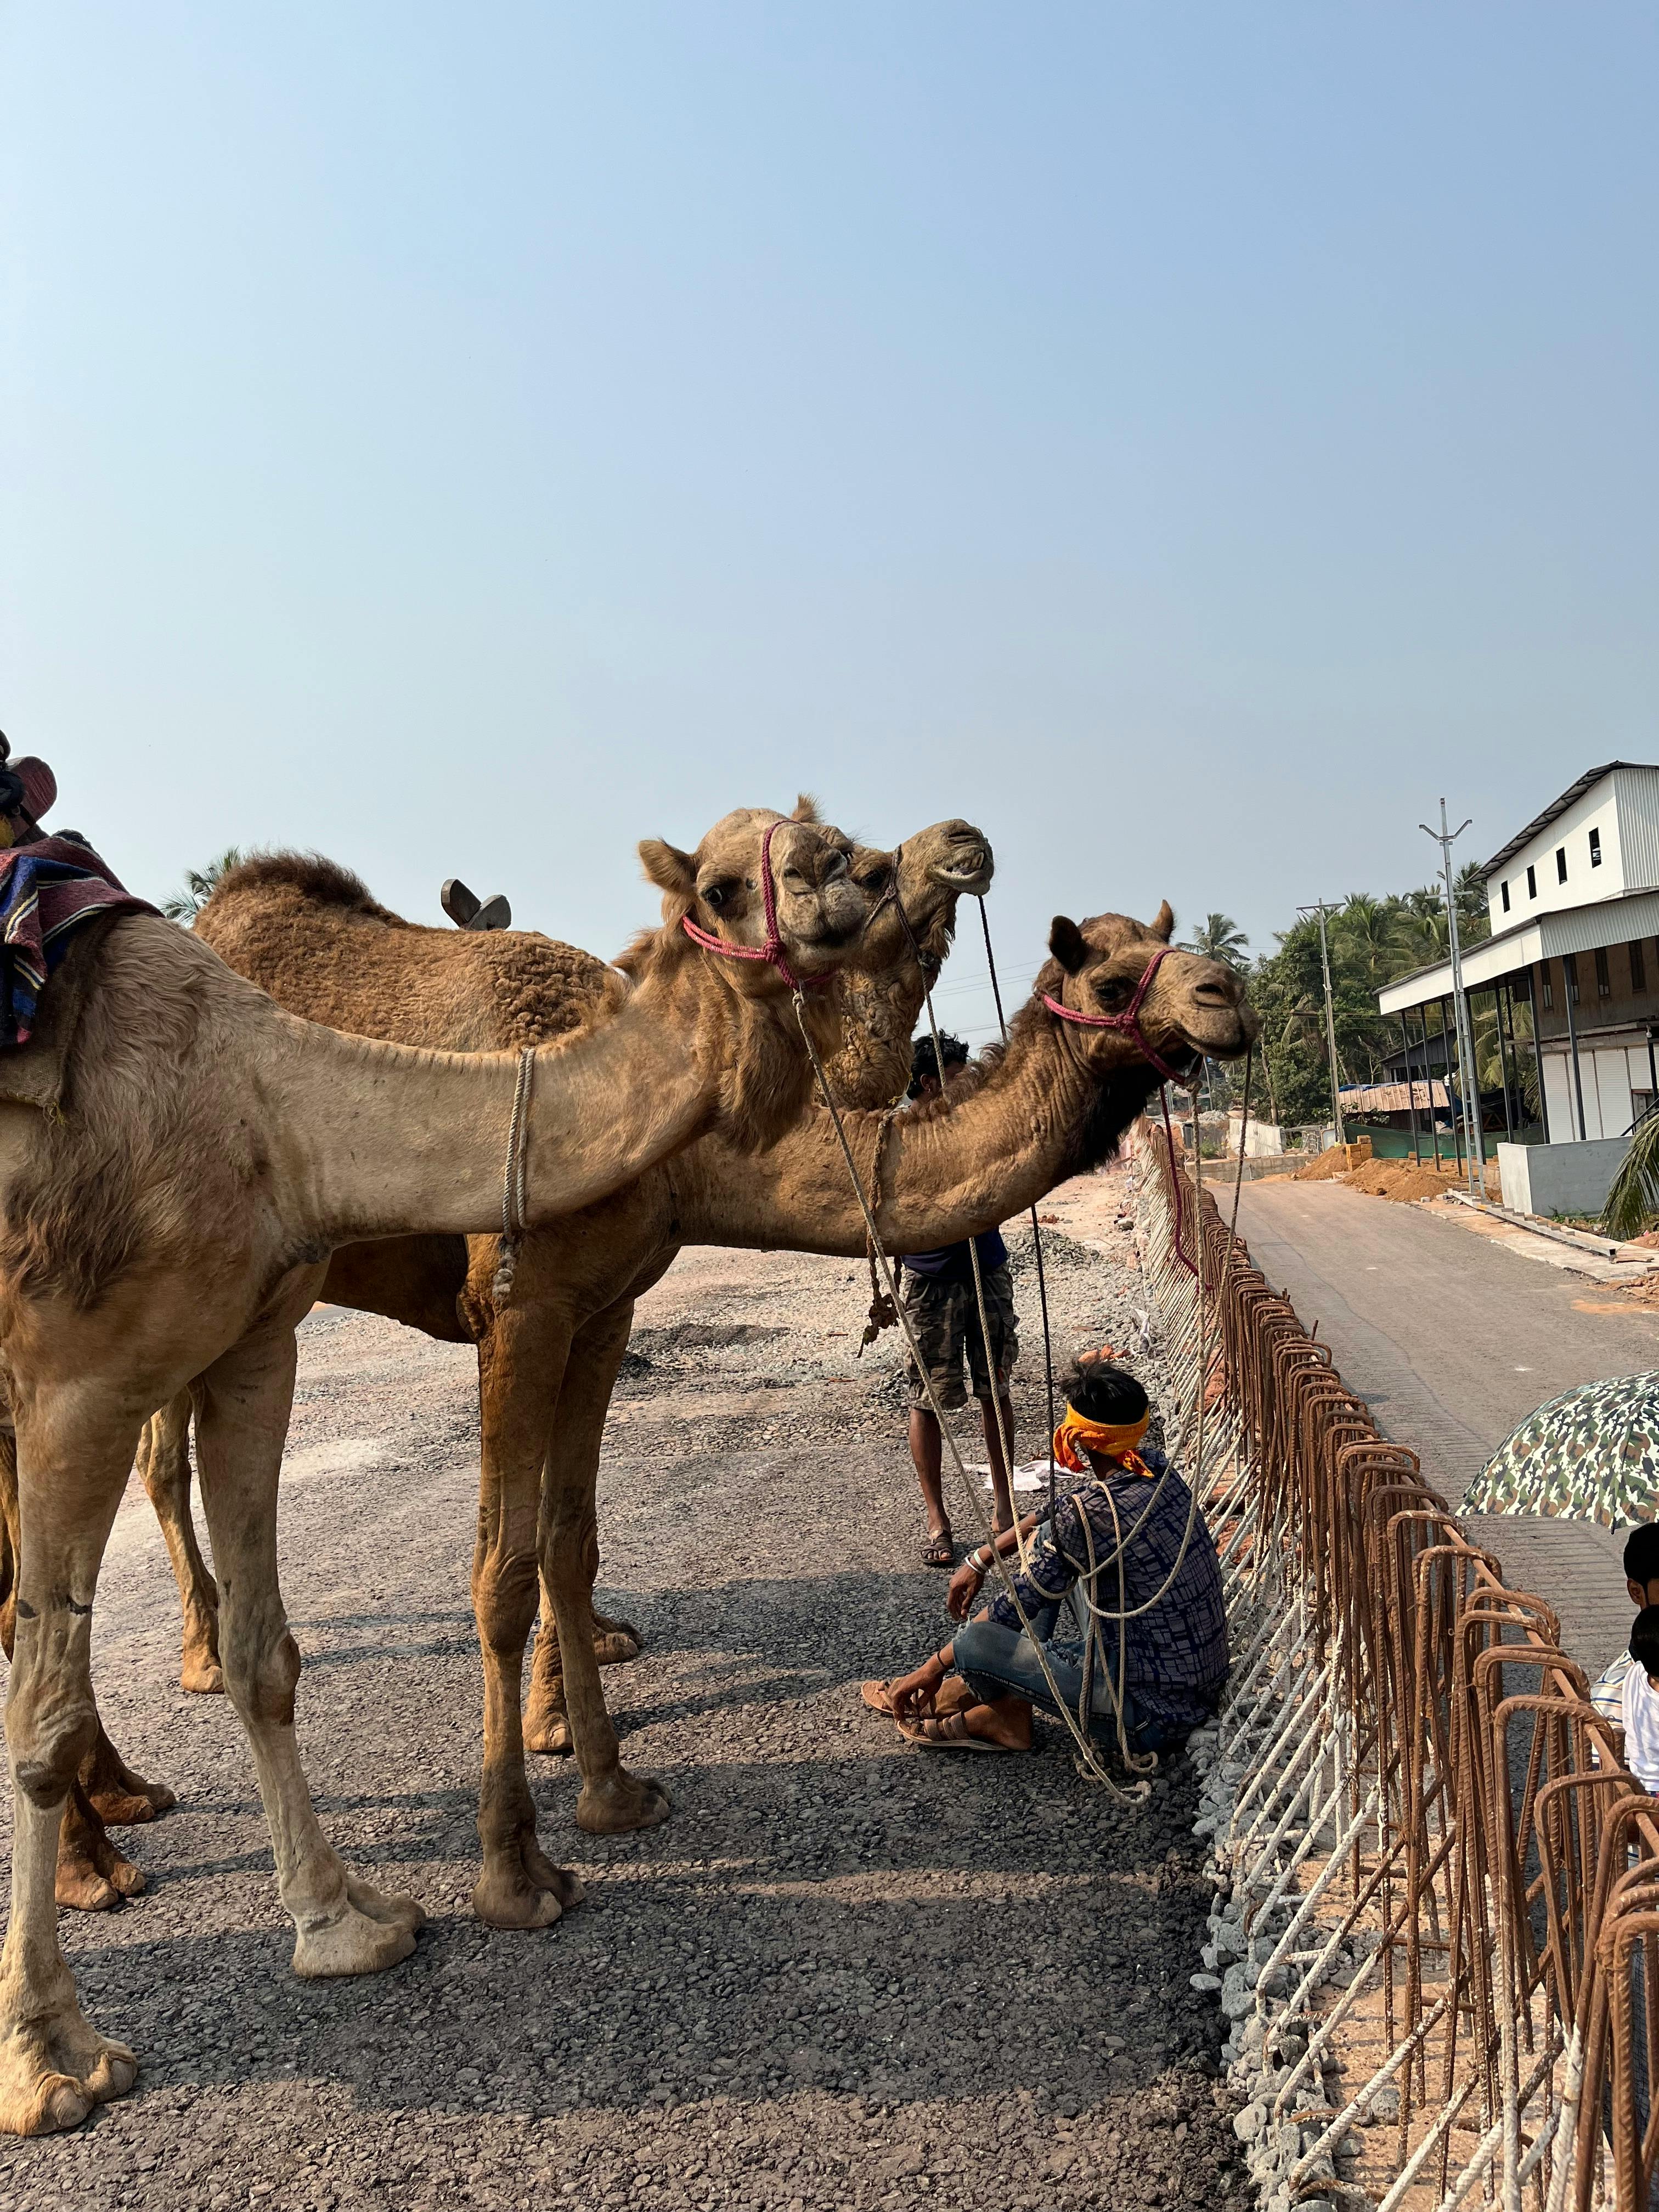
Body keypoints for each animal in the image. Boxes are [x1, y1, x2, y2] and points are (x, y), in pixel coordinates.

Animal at [0, 803, 881, 2137]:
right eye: (724, 886)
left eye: (824, 838)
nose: (860, 873)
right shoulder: (81, 1378)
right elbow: (40, 1712)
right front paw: (52, 2059)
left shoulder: (268, 1338)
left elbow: (294, 1645)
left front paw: (352, 1923)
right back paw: (102, 1866)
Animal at [130, 883, 1253, 1941]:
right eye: (1111, 978)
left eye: (1170, 946)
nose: (1226, 999)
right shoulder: (520, 1304)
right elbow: (502, 1574)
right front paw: (515, 1876)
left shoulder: (604, 1306)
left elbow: (568, 1542)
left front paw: (612, 1790)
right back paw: (141, 1795)